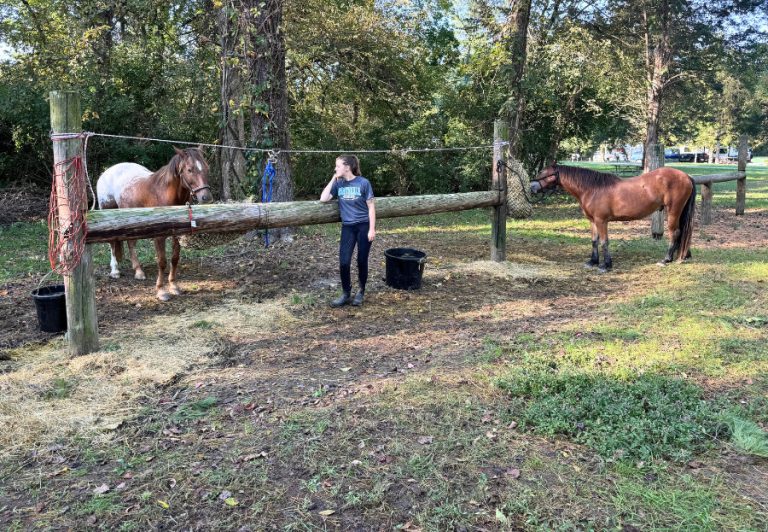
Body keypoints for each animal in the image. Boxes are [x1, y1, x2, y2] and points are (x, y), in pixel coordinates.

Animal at [96, 147, 213, 301]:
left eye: (206, 167)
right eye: (189, 169)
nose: (206, 197)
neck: (164, 193)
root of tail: (106, 173)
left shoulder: (177, 234)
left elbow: (175, 258)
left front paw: (174, 286)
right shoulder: (159, 236)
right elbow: (162, 261)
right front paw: (161, 291)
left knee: (131, 244)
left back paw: (138, 271)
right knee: (112, 243)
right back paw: (115, 271)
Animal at [530, 164, 696, 272]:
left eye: (543, 172)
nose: (532, 187)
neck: (593, 189)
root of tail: (686, 176)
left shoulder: (601, 221)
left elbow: (604, 242)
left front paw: (606, 265)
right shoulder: (593, 221)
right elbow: (594, 241)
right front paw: (593, 262)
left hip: (673, 211)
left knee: (675, 233)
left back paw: (666, 259)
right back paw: (682, 255)